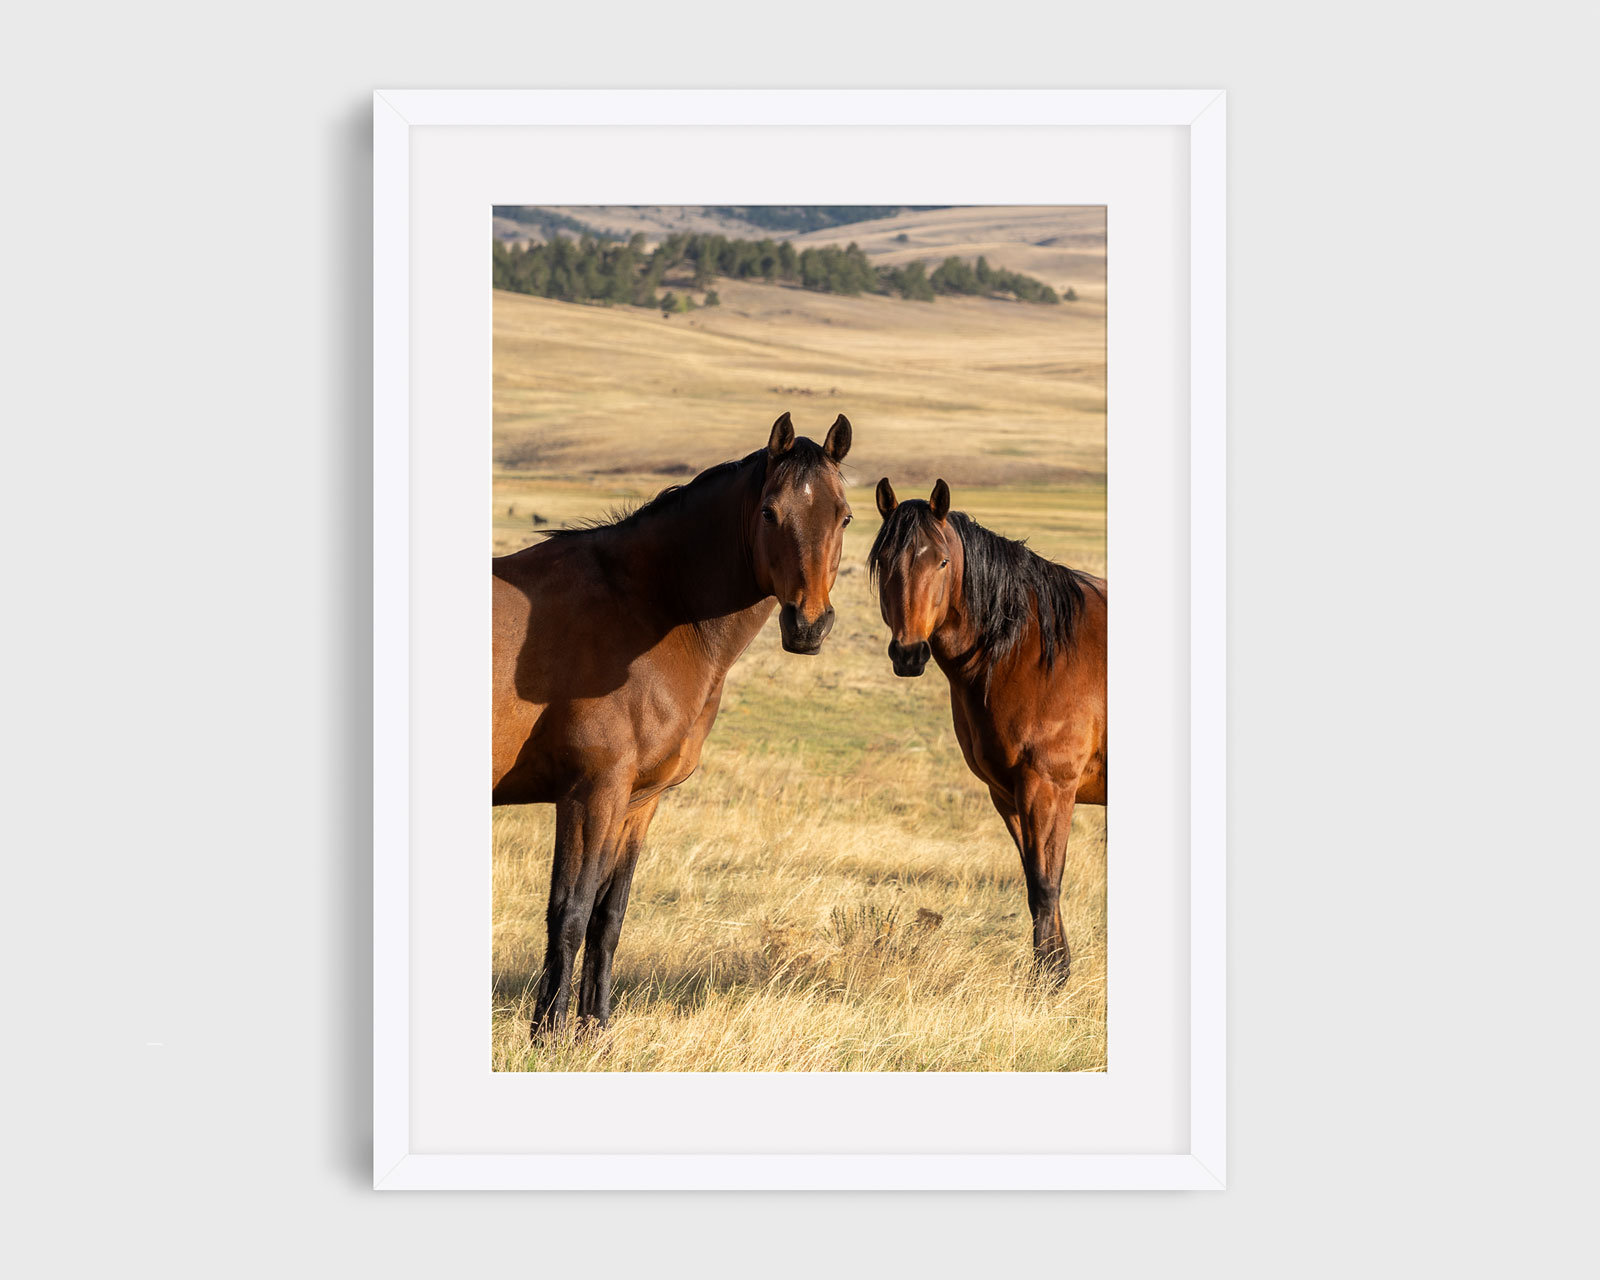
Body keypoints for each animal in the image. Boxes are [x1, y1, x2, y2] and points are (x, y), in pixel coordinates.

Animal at [492, 412, 854, 1033]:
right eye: (769, 512)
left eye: (845, 515)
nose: (809, 625)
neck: (646, 606)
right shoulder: (591, 792)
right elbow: (569, 912)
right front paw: (548, 1036)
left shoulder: (638, 801)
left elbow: (608, 919)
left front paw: (595, 1034)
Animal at [868, 477, 1106, 978]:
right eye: (883, 562)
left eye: (942, 561)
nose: (908, 654)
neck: (1030, 648)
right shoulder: (1009, 795)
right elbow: (1035, 885)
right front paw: (1056, 970)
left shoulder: (1049, 788)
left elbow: (1046, 885)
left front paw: (1047, 980)